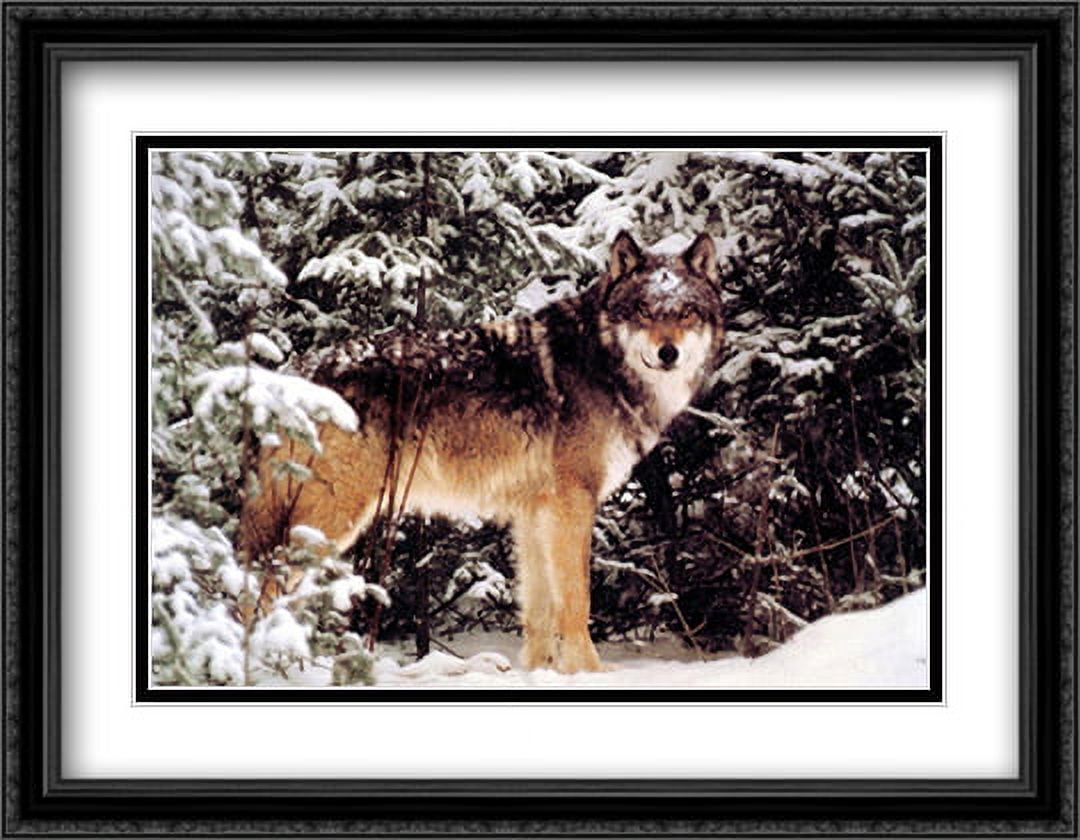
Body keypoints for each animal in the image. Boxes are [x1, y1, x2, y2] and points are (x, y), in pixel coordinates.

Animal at [240, 231, 725, 673]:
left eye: (685, 312)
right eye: (643, 310)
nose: (668, 352)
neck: (602, 363)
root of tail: (292, 372)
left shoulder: (534, 512)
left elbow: (539, 610)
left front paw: (541, 673)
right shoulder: (572, 503)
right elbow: (576, 601)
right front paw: (589, 673)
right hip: (330, 519)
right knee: (258, 590)